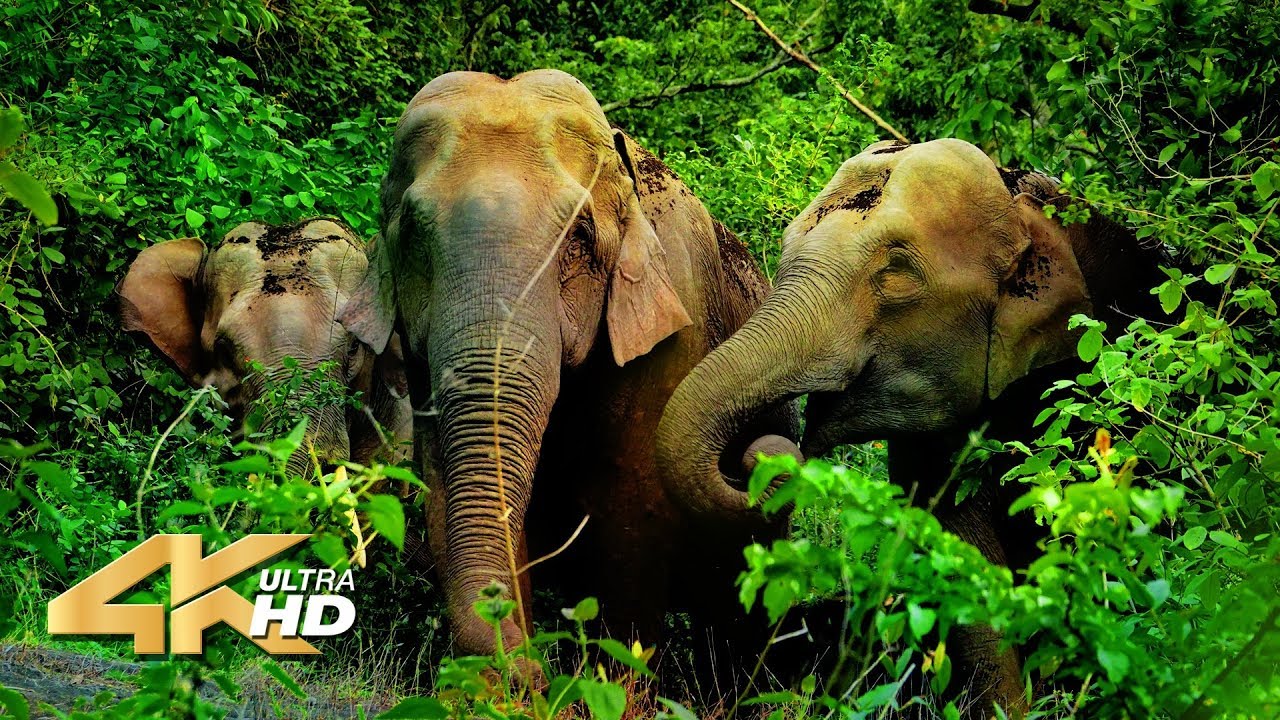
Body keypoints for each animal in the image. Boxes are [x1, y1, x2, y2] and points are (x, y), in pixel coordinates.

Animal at [337, 69, 799, 666]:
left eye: (579, 240)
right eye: (413, 236)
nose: (529, 662)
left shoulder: (678, 320)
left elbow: (633, 515)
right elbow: (447, 494)